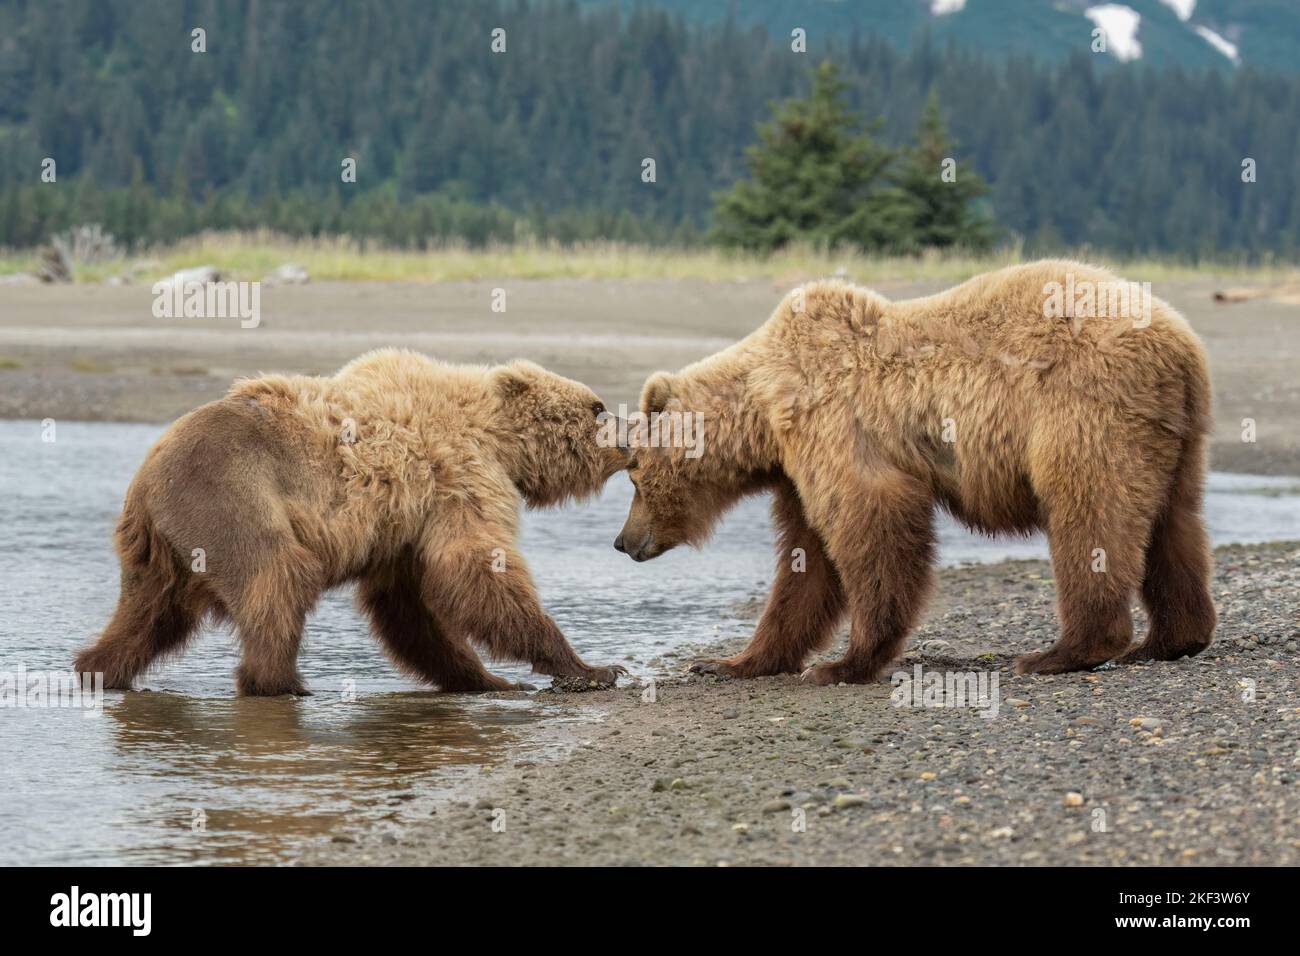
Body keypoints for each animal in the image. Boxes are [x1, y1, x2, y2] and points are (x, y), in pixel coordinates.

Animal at [74, 349, 628, 696]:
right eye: (597, 406)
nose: (631, 432)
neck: (498, 438)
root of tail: (146, 479)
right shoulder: (458, 477)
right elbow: (475, 568)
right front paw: (594, 667)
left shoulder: (407, 523)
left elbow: (411, 607)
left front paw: (488, 679)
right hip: (231, 498)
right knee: (278, 576)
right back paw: (280, 682)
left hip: (158, 547)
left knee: (149, 614)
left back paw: (98, 669)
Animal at [615, 260, 1216, 684]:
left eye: (633, 477)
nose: (622, 541)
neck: (765, 407)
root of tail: (1185, 344)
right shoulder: (797, 469)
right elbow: (806, 561)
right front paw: (733, 661)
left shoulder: (835, 425)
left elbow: (870, 526)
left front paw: (842, 664)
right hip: (1174, 438)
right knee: (1176, 523)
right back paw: (1171, 639)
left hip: (1085, 414)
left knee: (1089, 516)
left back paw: (1061, 652)